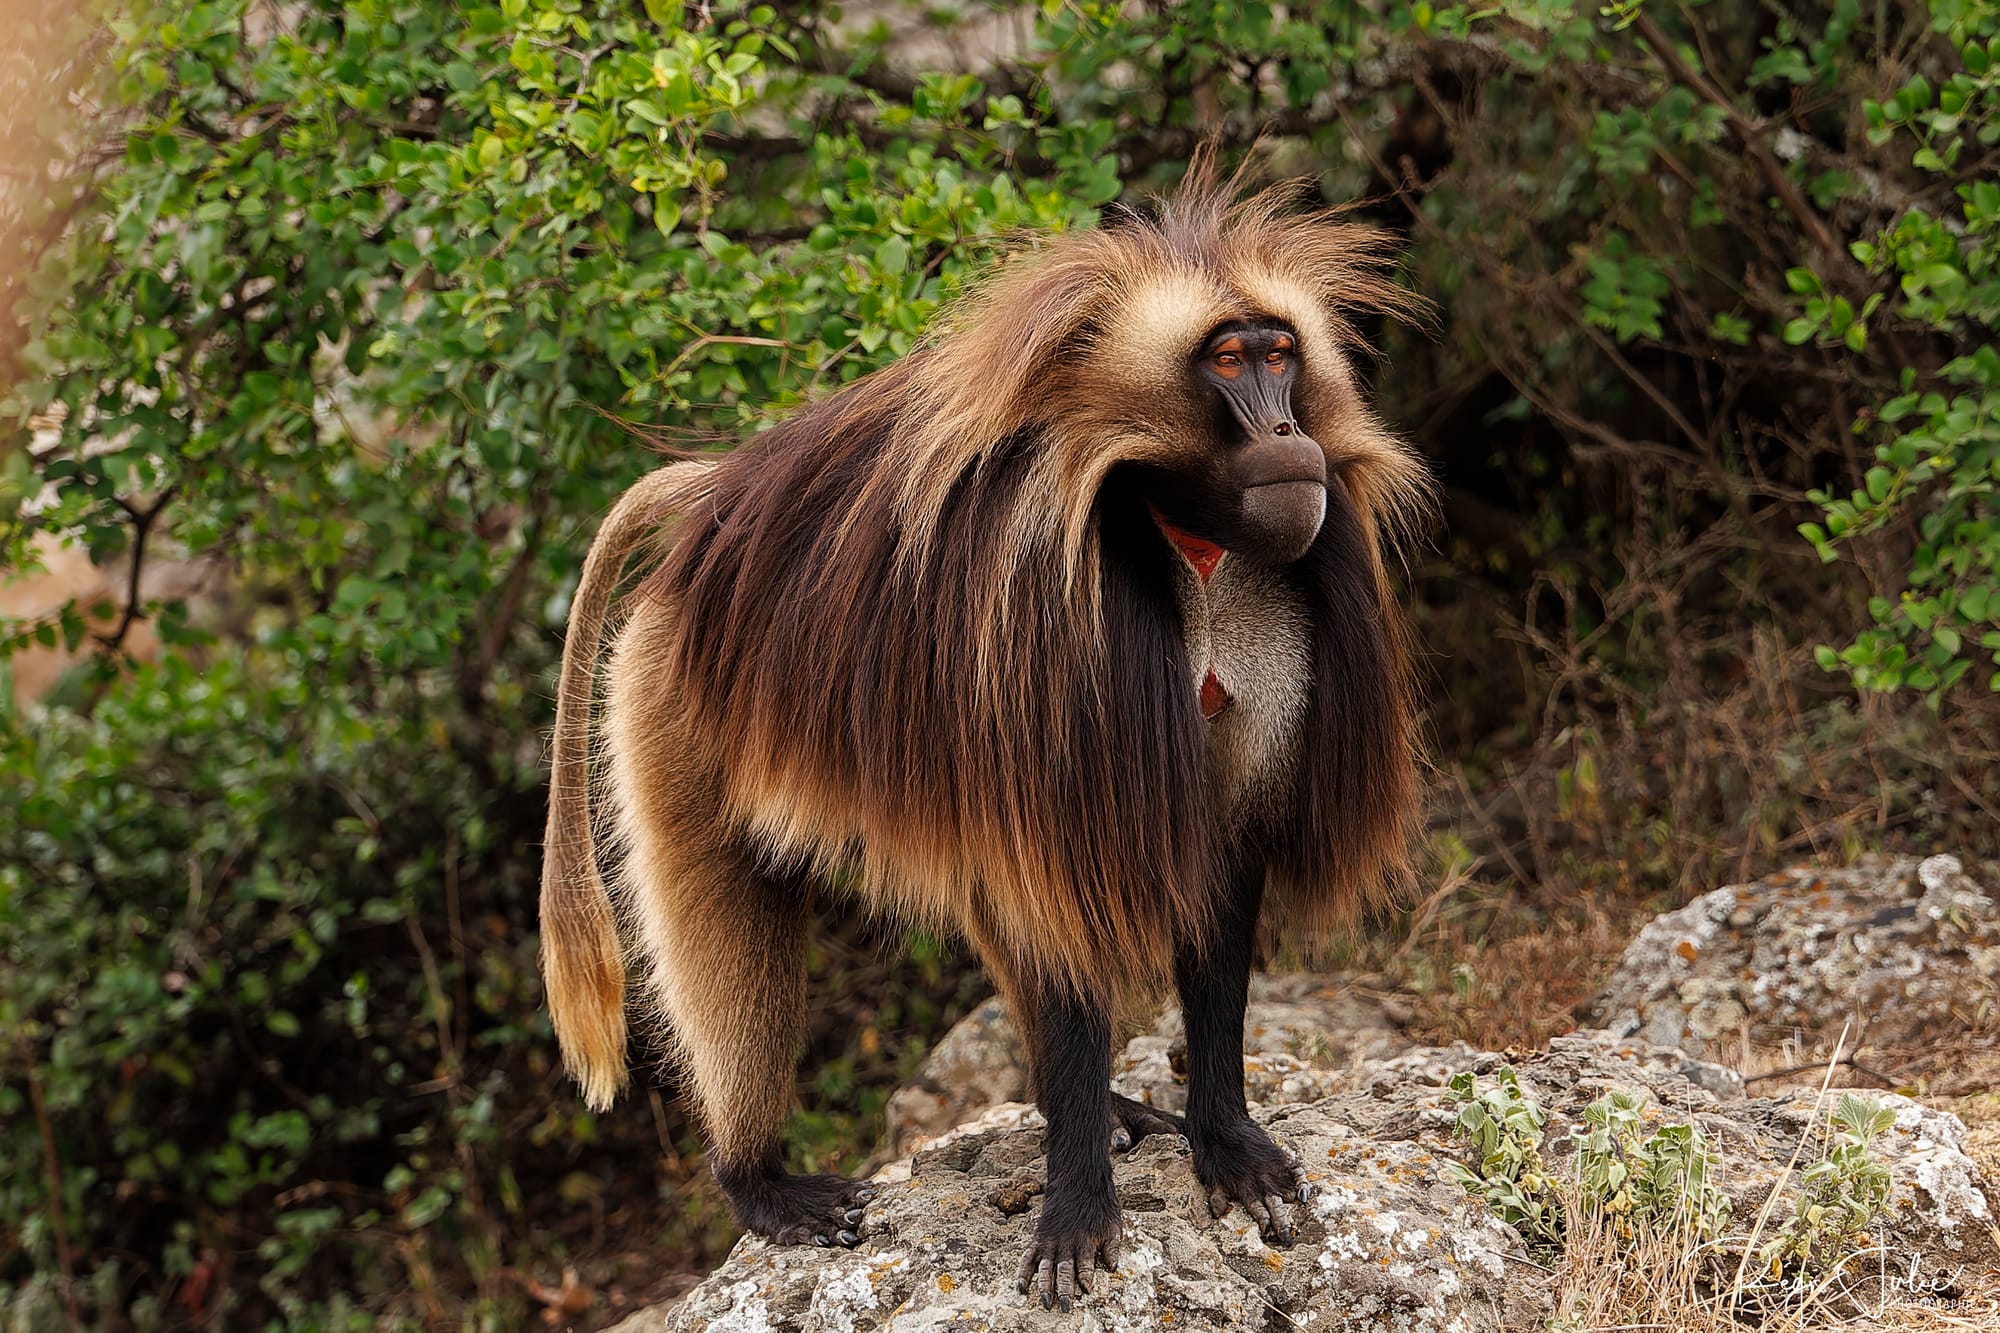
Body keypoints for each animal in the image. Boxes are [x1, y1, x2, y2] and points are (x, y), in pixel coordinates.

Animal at [540, 159, 1430, 1313]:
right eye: (1230, 362)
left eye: (1283, 355)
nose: (1290, 438)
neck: (1173, 534)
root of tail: (719, 507)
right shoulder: (1043, 628)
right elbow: (1062, 901)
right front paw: (1078, 1205)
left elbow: (1218, 863)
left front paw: (1221, 1139)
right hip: (668, 695)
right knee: (737, 897)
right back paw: (759, 1179)